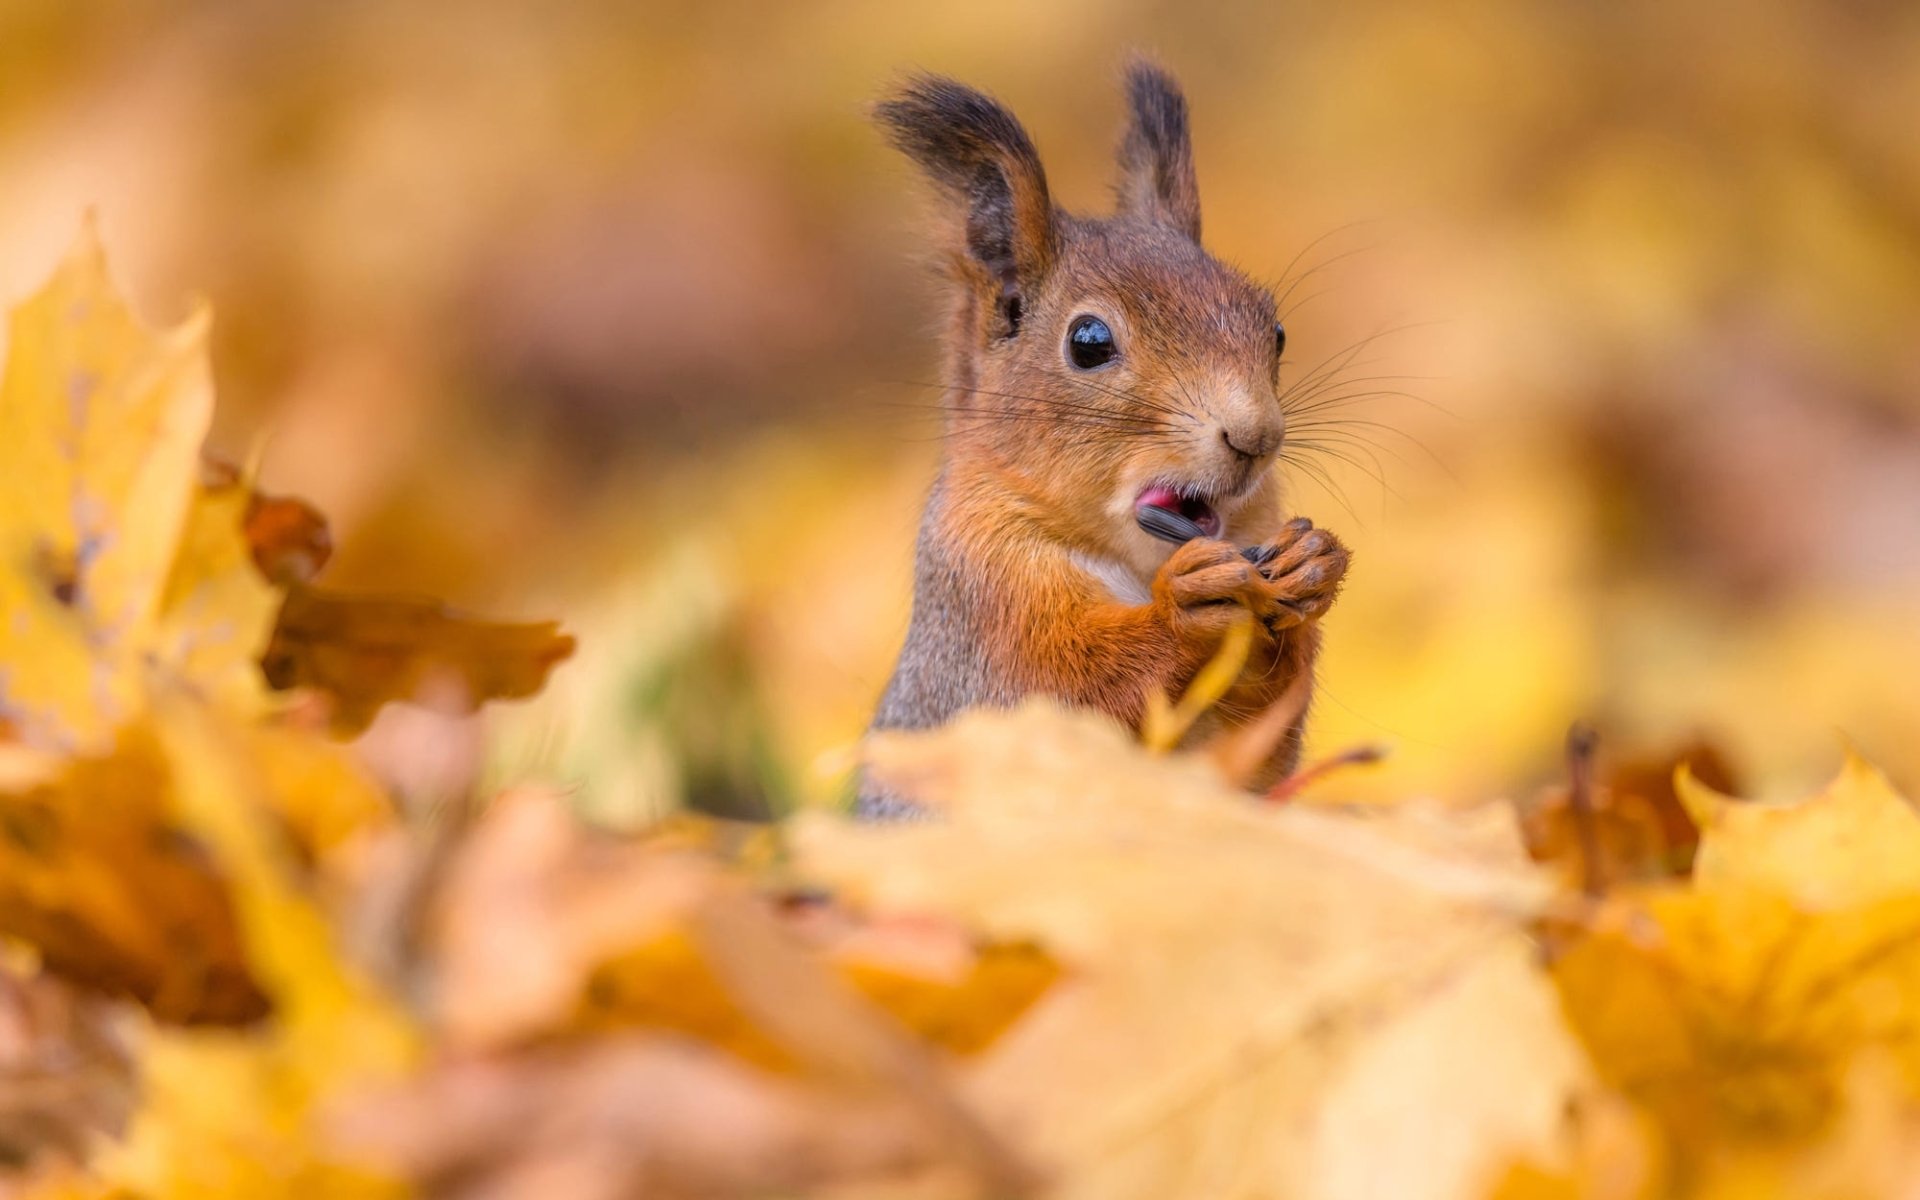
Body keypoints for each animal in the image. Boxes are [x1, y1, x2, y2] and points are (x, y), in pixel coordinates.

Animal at [860, 62, 1350, 816]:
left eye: (1275, 329)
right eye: (1088, 343)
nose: (1256, 435)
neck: (1137, 562)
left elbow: (1251, 755)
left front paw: (1310, 565)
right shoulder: (985, 607)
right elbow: (1062, 695)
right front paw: (1187, 607)